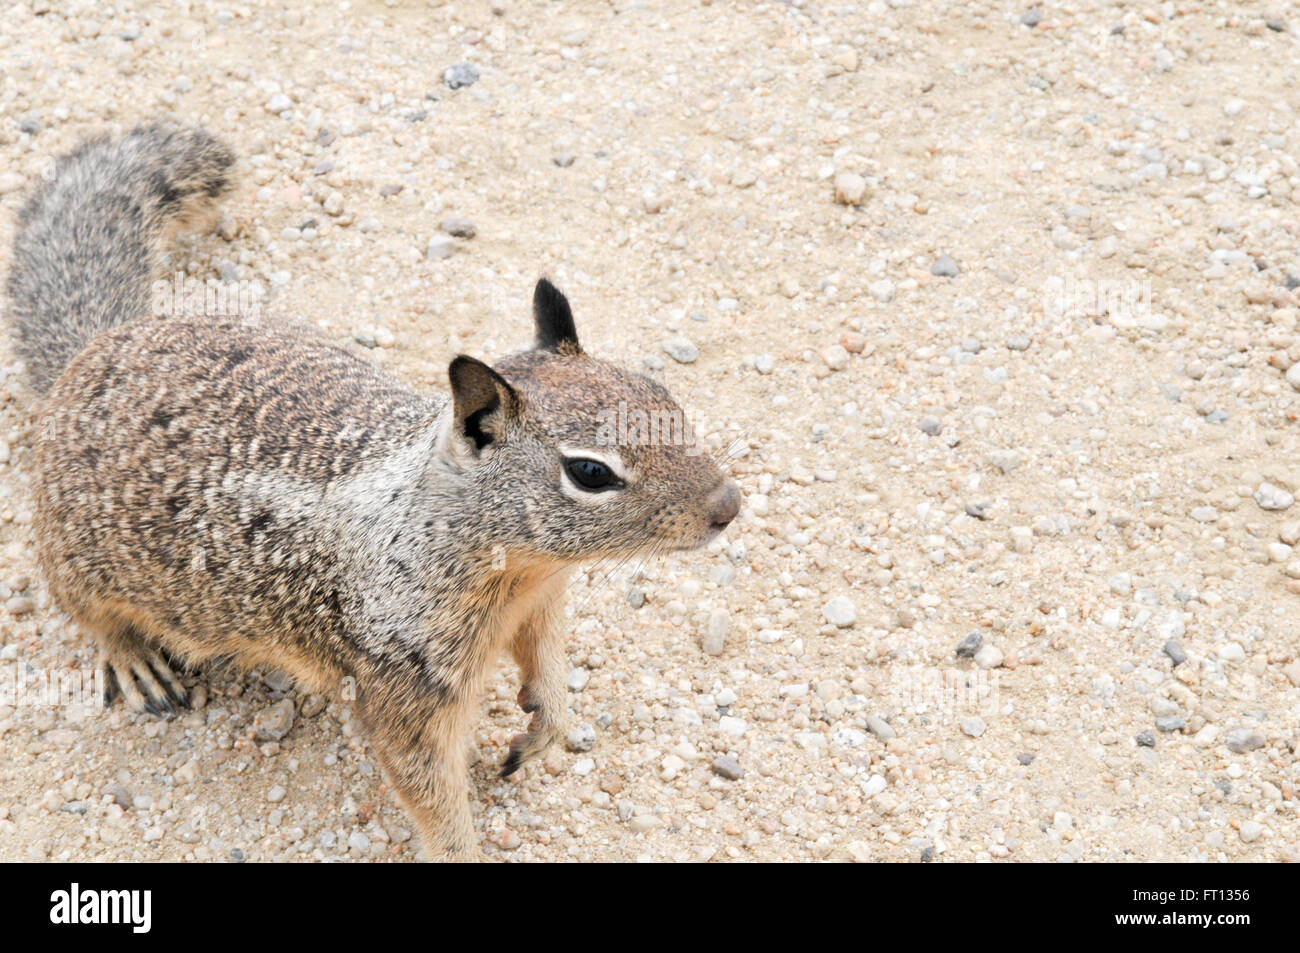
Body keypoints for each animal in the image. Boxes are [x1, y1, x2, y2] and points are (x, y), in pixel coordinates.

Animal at [7, 122, 742, 860]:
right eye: (591, 472)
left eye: (662, 395)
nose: (728, 506)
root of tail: (94, 346)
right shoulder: (405, 689)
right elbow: (430, 793)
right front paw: (463, 842)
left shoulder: (543, 603)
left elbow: (551, 670)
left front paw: (544, 729)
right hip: (74, 557)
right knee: (90, 615)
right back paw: (135, 661)